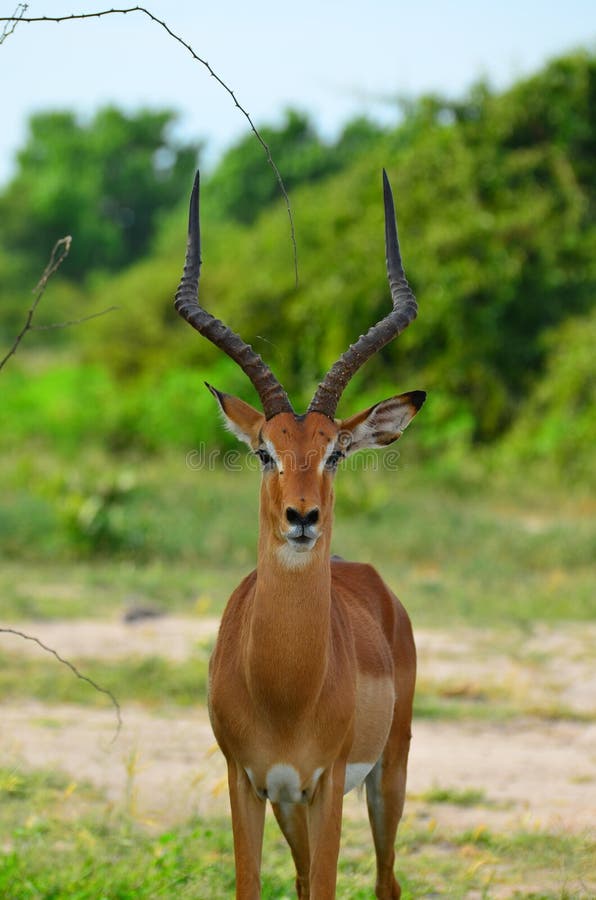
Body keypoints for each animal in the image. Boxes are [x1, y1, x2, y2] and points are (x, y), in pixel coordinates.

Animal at [174, 170, 425, 899]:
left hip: (388, 774)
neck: (284, 690)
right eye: (266, 451)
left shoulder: (327, 784)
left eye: (335, 452)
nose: (303, 517)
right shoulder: (249, 783)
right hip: (293, 806)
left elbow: (329, 886)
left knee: (386, 881)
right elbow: (253, 886)